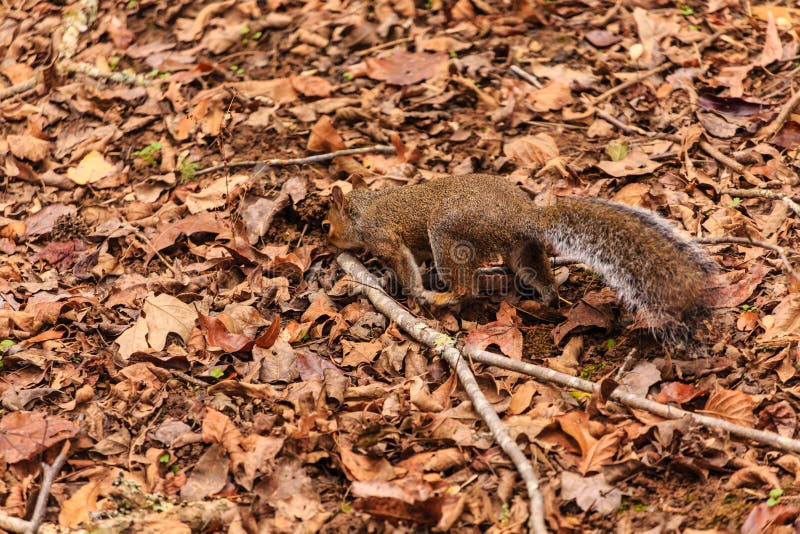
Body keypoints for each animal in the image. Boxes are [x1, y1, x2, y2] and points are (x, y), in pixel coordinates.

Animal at [323, 174, 718, 341]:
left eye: (327, 225)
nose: (328, 247)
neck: (365, 208)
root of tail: (520, 216)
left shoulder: (384, 237)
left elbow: (405, 264)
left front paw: (410, 291)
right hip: (522, 249)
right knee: (540, 279)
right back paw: (544, 302)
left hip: (448, 233)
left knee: (467, 287)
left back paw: (445, 297)